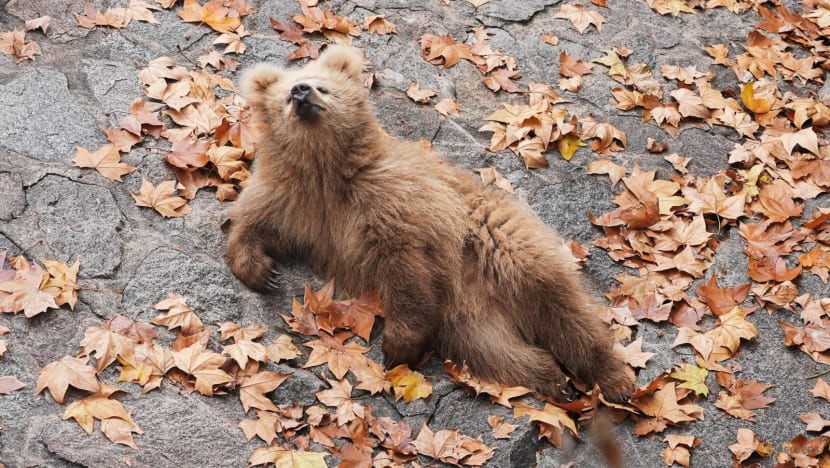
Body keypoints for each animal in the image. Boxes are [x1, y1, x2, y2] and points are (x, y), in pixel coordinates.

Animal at [224, 44, 636, 403]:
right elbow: (252, 224)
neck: (326, 171)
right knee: (495, 352)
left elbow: (407, 267)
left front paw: (395, 346)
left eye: (322, 85)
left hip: (503, 245)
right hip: (468, 321)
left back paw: (615, 380)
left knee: (564, 310)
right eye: (284, 95)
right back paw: (552, 379)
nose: (301, 91)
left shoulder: (392, 203)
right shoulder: (295, 203)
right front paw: (262, 271)